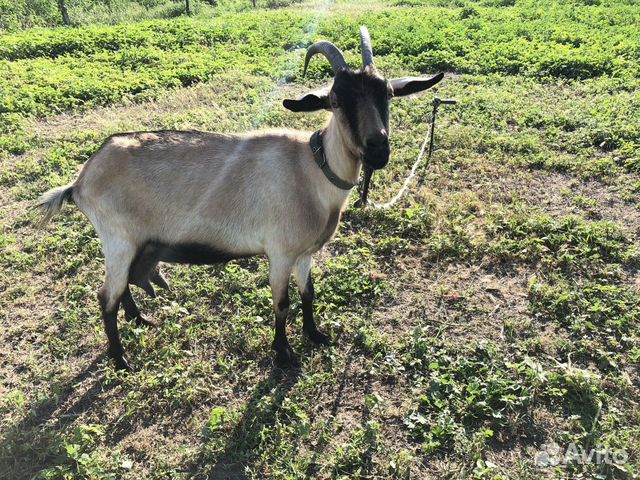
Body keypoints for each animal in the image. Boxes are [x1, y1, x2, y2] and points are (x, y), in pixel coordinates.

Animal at [37, 27, 443, 370]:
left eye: (386, 94)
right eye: (336, 100)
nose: (378, 149)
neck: (312, 169)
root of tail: (81, 180)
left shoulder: (304, 253)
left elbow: (308, 293)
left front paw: (316, 335)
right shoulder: (279, 252)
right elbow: (282, 303)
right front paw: (284, 354)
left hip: (133, 244)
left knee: (121, 289)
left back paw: (141, 319)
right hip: (118, 240)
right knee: (105, 295)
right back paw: (121, 360)